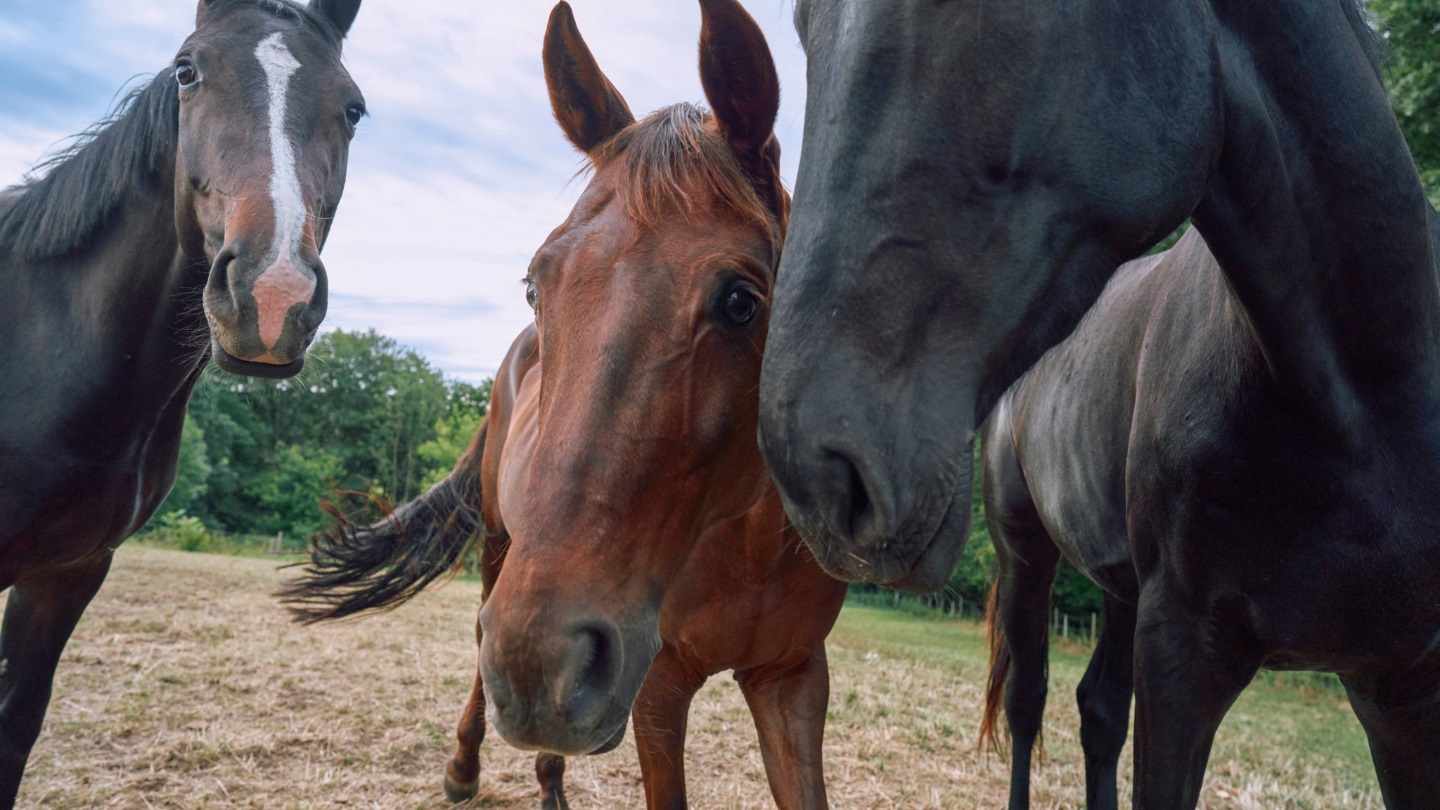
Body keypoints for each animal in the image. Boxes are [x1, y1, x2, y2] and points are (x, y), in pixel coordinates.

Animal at [280, 2, 845, 808]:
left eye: (742, 300)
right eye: (534, 286)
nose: (539, 661)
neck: (749, 544)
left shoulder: (791, 679)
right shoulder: (658, 685)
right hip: (500, 551)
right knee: (479, 642)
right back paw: (465, 767)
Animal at [757, 0, 1440, 806]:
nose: (814, 476)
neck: (1361, 404)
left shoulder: (1402, 688)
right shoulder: (1183, 654)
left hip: (1121, 593)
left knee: (1099, 712)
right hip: (1027, 558)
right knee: (1030, 704)